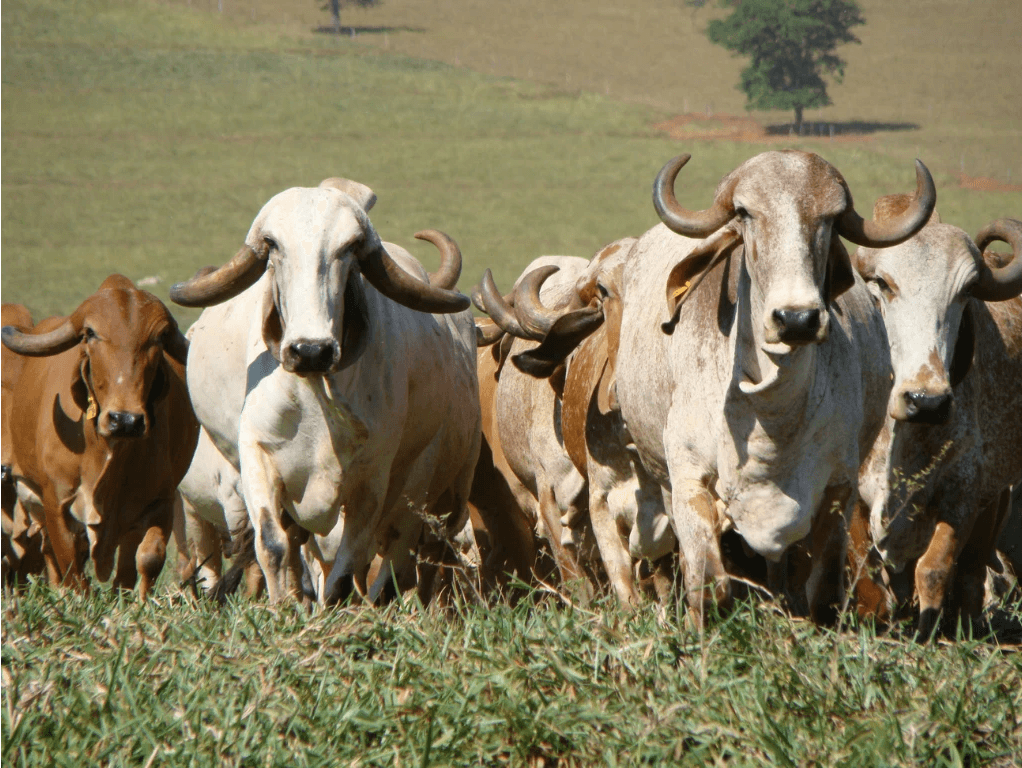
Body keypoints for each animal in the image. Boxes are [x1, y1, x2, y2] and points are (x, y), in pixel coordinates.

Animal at [1, 277, 199, 597]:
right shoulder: (56, 502)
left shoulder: (161, 500)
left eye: (159, 337)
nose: (126, 420)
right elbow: (70, 562)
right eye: (90, 333)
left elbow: (149, 558)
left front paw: (137, 601)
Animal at [169, 177, 481, 605]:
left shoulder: (372, 482)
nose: (311, 350)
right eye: (272, 244)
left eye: (349, 246)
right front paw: (284, 608)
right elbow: (274, 546)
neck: (313, 397)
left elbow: (349, 570)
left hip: (432, 492)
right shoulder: (257, 458)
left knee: (400, 564)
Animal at [852, 208, 1022, 636]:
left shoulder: (962, 491)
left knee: (972, 572)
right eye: (882, 283)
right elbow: (865, 573)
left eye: (965, 292)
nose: (926, 401)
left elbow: (934, 568)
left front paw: (926, 629)